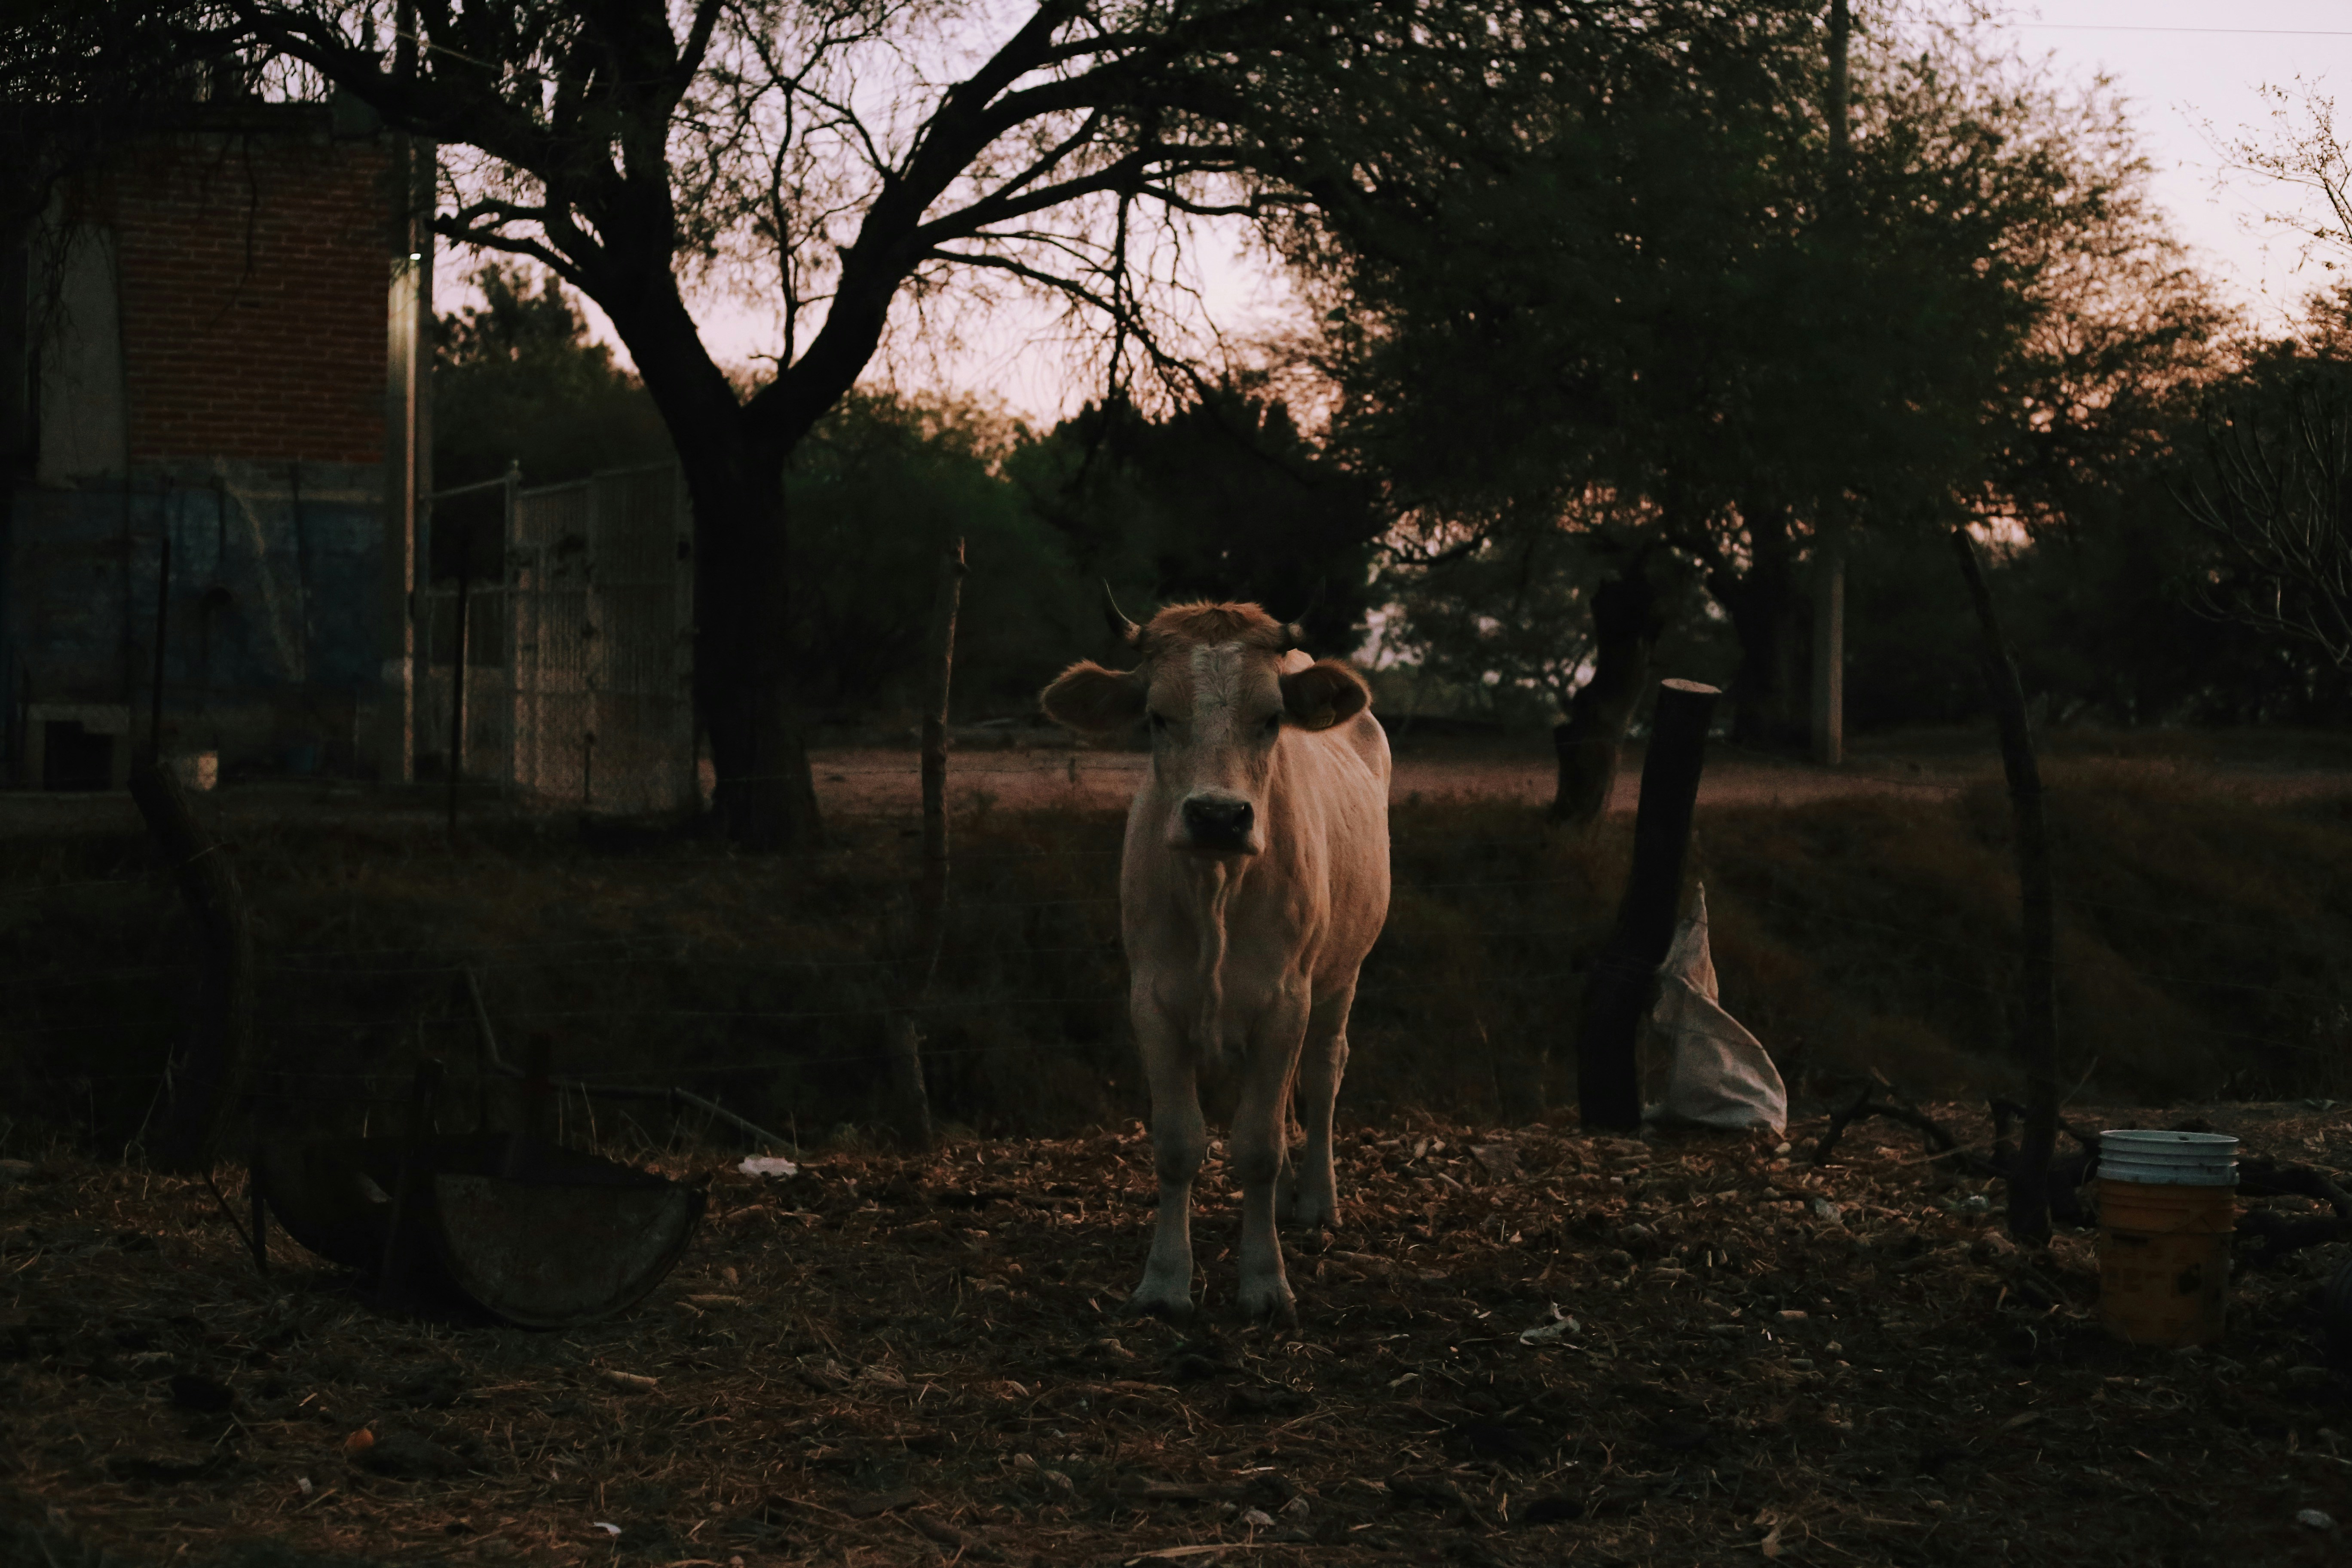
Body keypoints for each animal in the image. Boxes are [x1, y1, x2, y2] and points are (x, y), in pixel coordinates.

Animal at [1040, 599, 1391, 1323]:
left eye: (1271, 718)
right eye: (1156, 716)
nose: (1218, 816)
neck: (1217, 889)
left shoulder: (1287, 999)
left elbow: (1258, 1147)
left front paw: (1263, 1280)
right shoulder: (1153, 1002)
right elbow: (1180, 1144)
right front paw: (1165, 1280)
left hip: (1341, 974)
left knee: (1323, 1072)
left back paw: (1317, 1199)